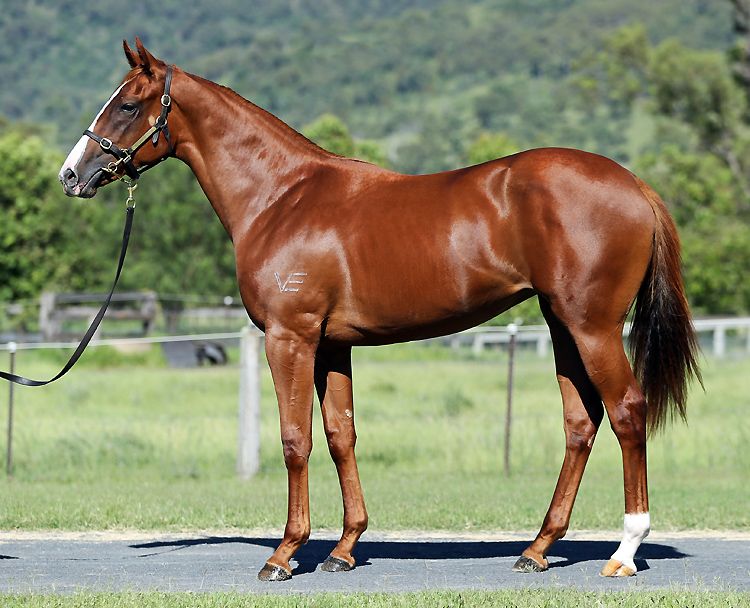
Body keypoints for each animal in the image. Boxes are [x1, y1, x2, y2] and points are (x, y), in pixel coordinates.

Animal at [58, 39, 700, 581]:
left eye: (128, 105)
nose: (71, 175)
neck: (281, 196)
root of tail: (634, 185)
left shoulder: (290, 338)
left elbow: (294, 439)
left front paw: (284, 554)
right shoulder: (332, 345)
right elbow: (340, 435)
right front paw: (344, 549)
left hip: (592, 326)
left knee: (626, 411)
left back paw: (624, 552)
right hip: (561, 325)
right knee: (580, 424)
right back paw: (538, 548)